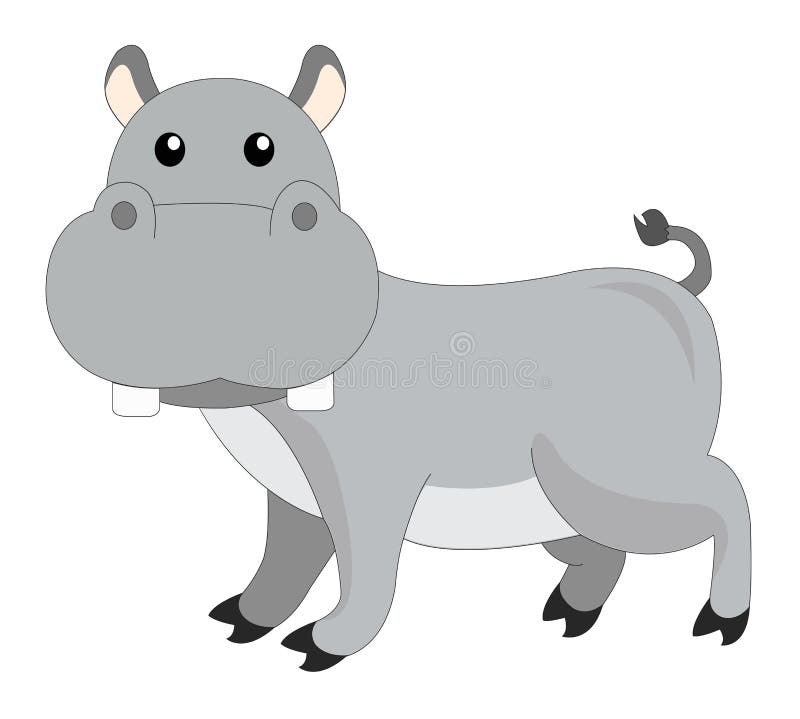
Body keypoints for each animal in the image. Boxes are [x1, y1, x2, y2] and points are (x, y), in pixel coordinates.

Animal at [46, 45, 751, 671]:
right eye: (164, 149)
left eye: (264, 151)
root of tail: (682, 292)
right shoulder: (293, 490)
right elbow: (287, 556)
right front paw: (242, 621)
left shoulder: (367, 475)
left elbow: (366, 560)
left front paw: (320, 648)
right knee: (606, 547)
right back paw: (570, 614)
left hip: (607, 468)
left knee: (721, 491)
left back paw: (722, 623)